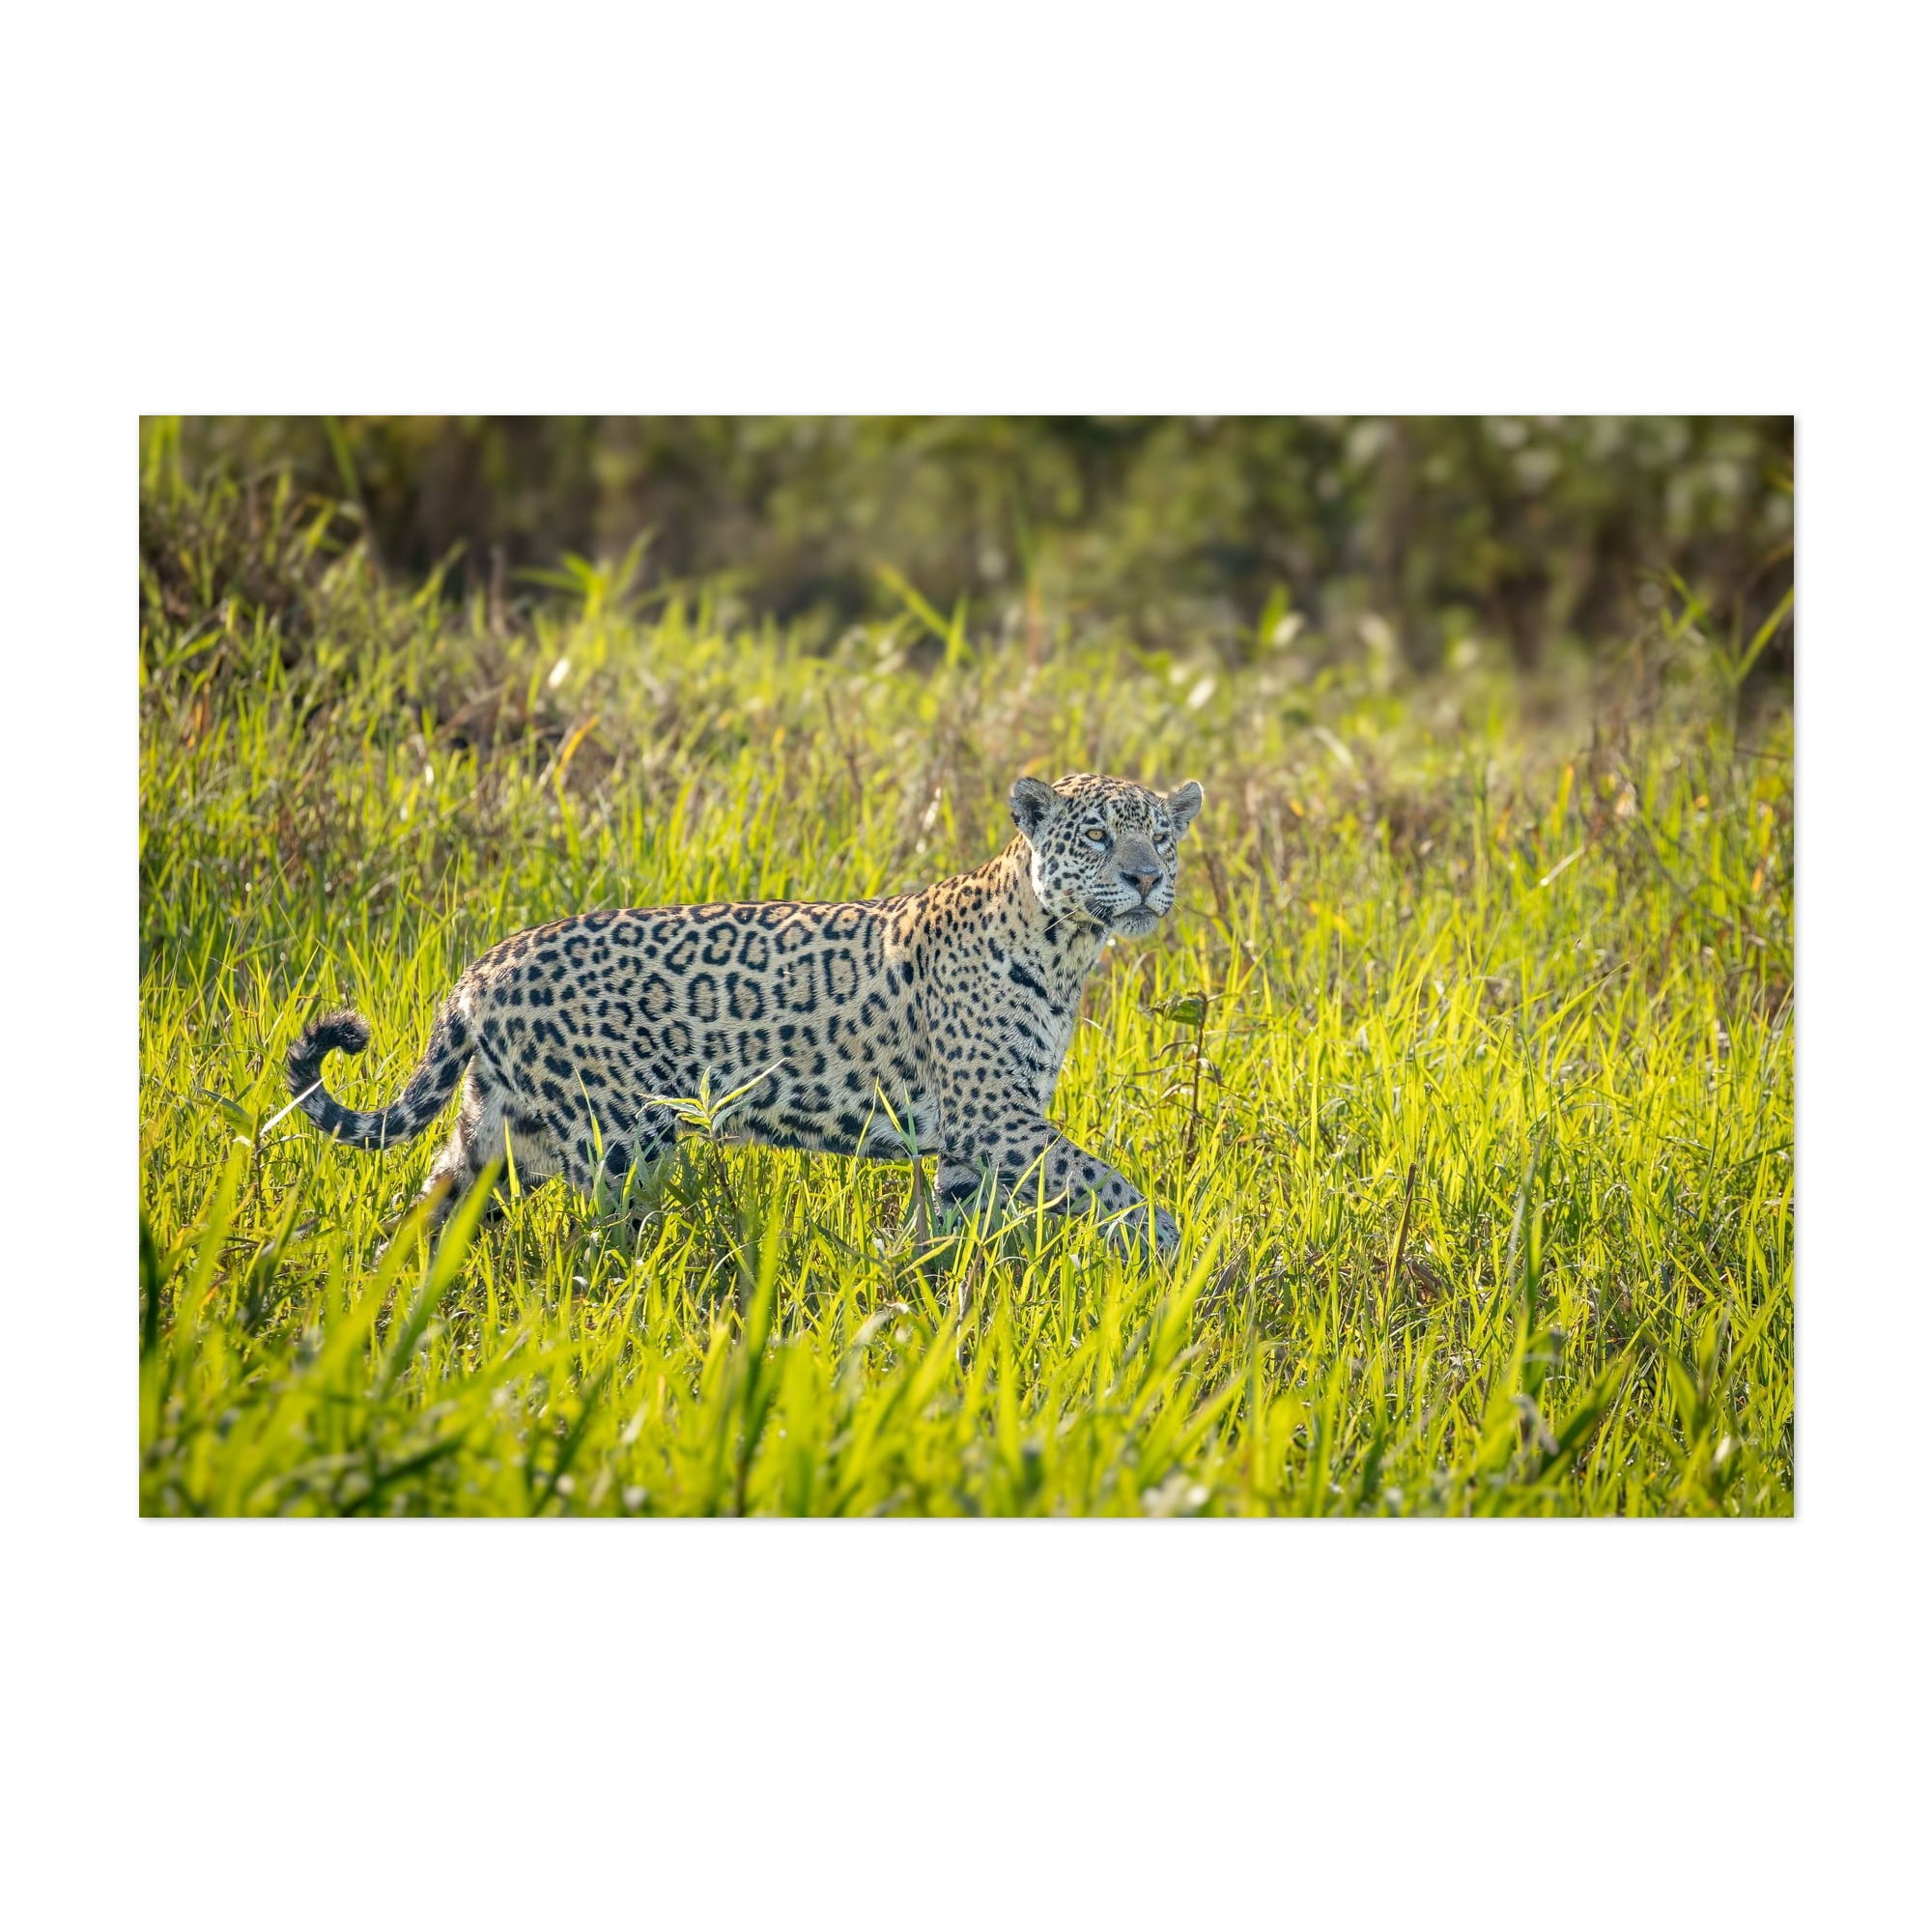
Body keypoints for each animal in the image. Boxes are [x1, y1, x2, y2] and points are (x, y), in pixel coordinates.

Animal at [287, 770, 1204, 1258]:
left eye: (1161, 836)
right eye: (1097, 838)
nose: (1147, 878)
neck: (1065, 946)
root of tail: (483, 968)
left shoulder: (976, 1145)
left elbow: (953, 1228)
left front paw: (917, 1281)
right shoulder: (997, 1119)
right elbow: (1112, 1185)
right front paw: (1181, 1251)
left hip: (498, 1137)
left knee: (429, 1216)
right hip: (619, 1142)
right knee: (603, 1246)